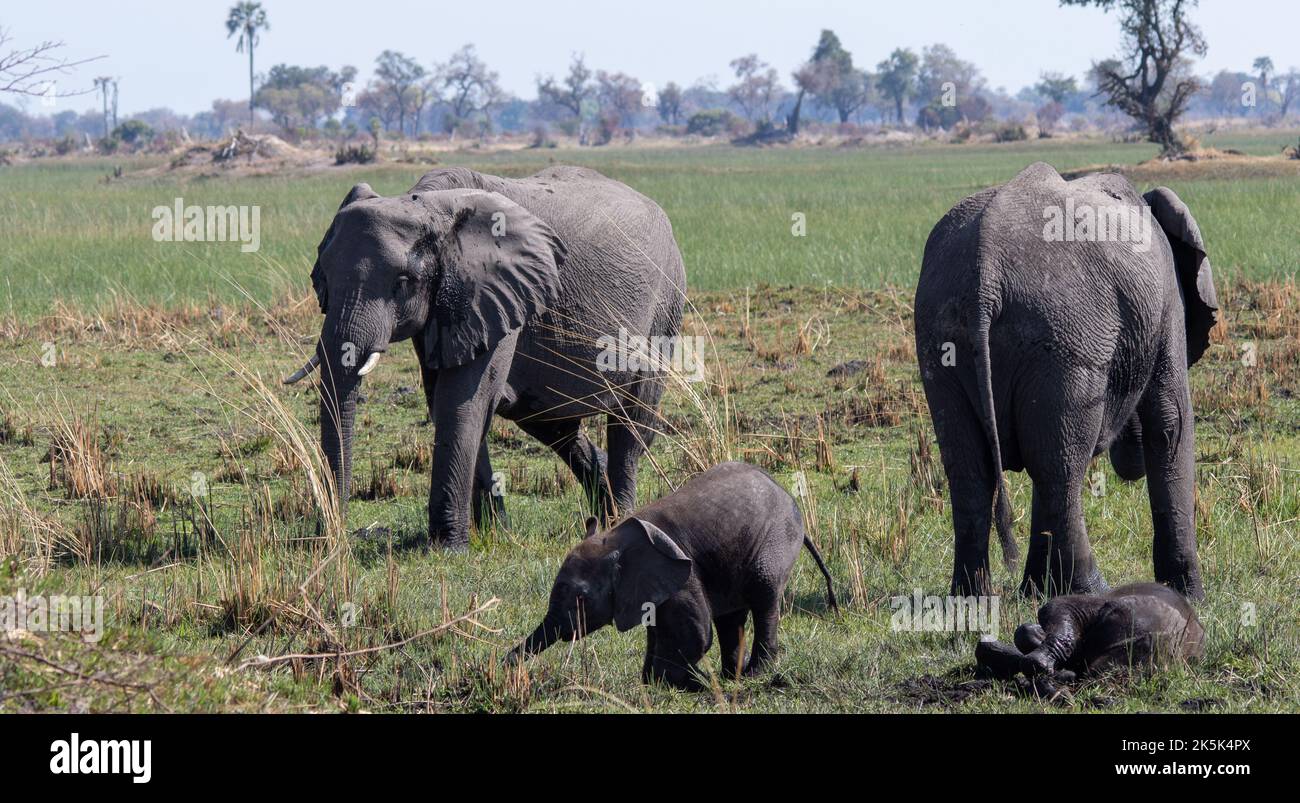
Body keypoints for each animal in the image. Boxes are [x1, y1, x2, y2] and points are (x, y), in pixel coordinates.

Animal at [284, 166, 686, 548]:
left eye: (403, 281)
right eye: (322, 277)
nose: (330, 538)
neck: (430, 205)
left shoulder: (498, 294)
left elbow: (462, 401)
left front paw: (448, 548)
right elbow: (447, 401)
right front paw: (494, 536)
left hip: (666, 302)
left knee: (631, 425)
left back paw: (622, 519)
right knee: (552, 424)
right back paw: (601, 510)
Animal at [505, 462, 838, 690]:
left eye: (581, 598)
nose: (503, 663)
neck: (615, 541)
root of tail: (788, 497)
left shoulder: (682, 576)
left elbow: (695, 634)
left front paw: (679, 684)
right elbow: (660, 629)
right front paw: (657, 682)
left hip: (775, 543)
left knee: (764, 599)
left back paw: (753, 674)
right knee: (731, 617)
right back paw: (731, 678)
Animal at [915, 162, 1218, 599]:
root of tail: (984, 276)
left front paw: (1035, 591)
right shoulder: (1168, 304)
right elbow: (1170, 422)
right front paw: (1188, 595)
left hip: (942, 334)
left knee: (976, 467)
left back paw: (972, 598)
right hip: (1064, 335)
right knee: (1060, 465)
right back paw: (1092, 591)